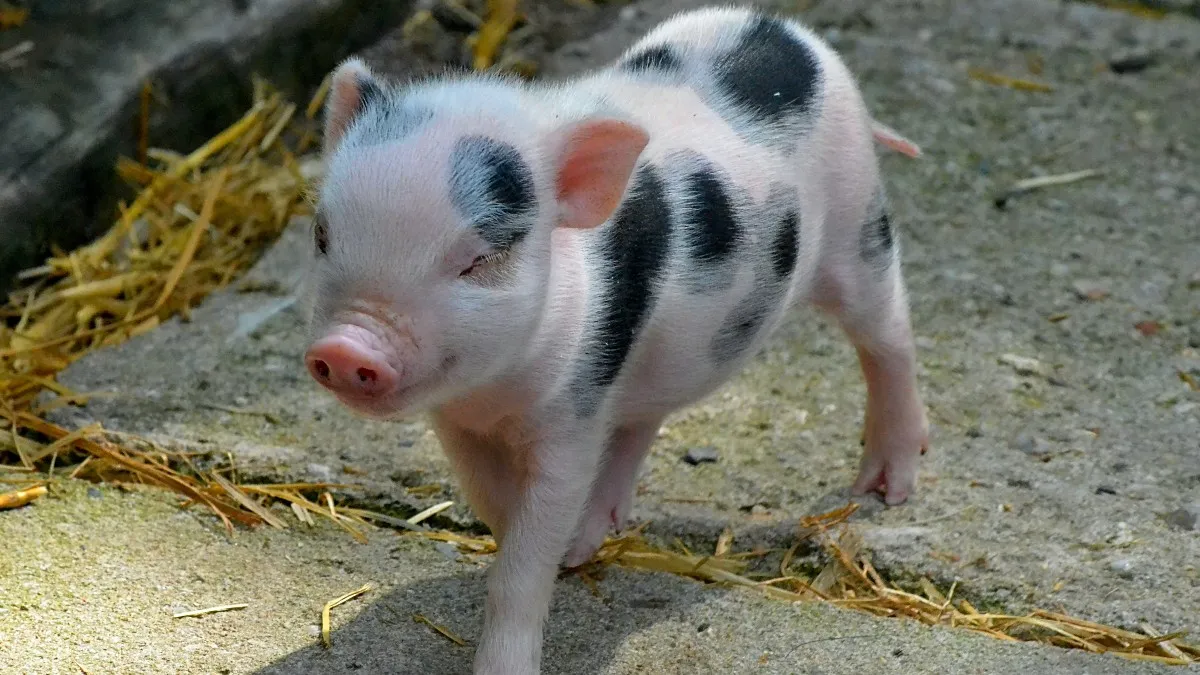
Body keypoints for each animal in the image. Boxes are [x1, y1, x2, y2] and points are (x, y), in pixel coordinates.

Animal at [303, 5, 929, 673]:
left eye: (477, 260)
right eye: (322, 235)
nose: (346, 347)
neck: (496, 392)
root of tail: (783, 29)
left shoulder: (572, 414)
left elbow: (526, 552)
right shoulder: (459, 422)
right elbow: (496, 506)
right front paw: (565, 548)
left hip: (857, 221)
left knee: (889, 334)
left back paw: (885, 488)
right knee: (642, 418)